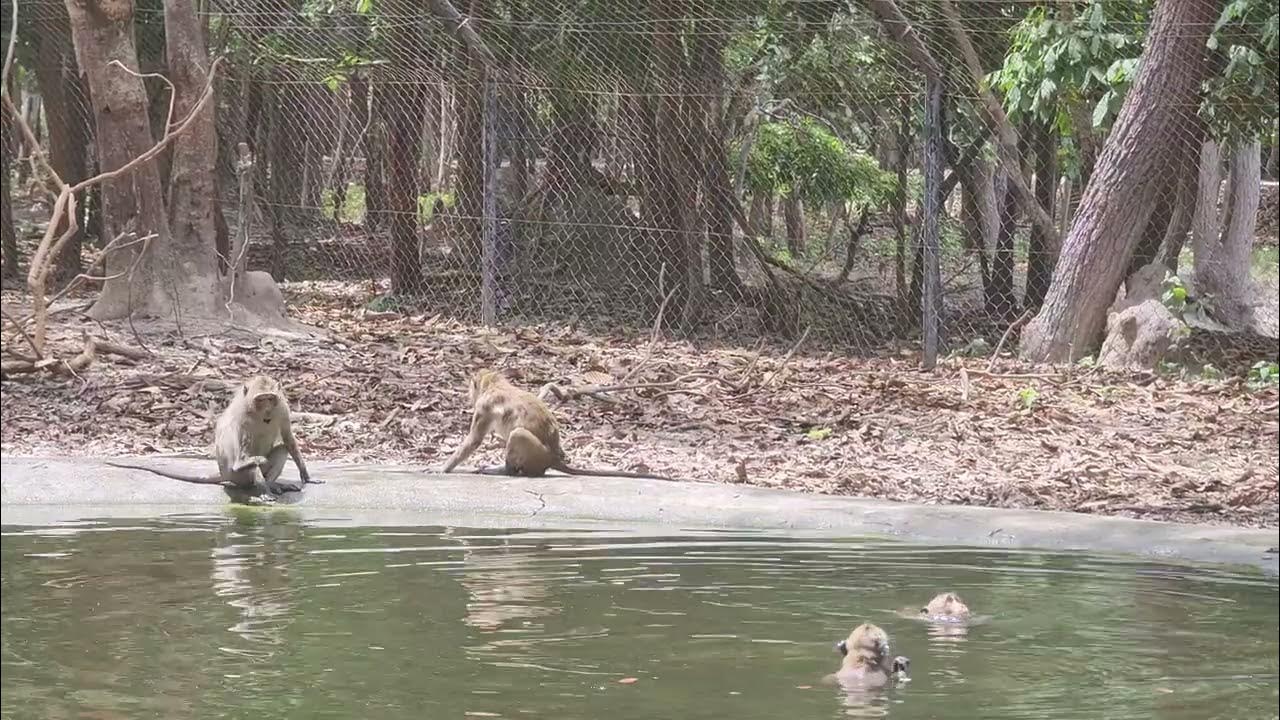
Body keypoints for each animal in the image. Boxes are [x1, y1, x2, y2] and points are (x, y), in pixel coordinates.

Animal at [107, 375, 319, 497]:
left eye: (270, 398)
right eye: (261, 400)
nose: (267, 410)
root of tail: (223, 474)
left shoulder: (282, 408)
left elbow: (288, 438)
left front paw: (305, 475)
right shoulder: (244, 416)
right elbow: (244, 449)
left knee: (281, 449)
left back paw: (271, 484)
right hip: (236, 476)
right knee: (245, 461)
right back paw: (257, 482)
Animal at [441, 369, 678, 482]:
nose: (468, 394)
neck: (495, 385)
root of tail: (553, 458)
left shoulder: (484, 406)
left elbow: (474, 440)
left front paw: (443, 468)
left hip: (538, 455)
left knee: (518, 434)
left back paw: (507, 470)